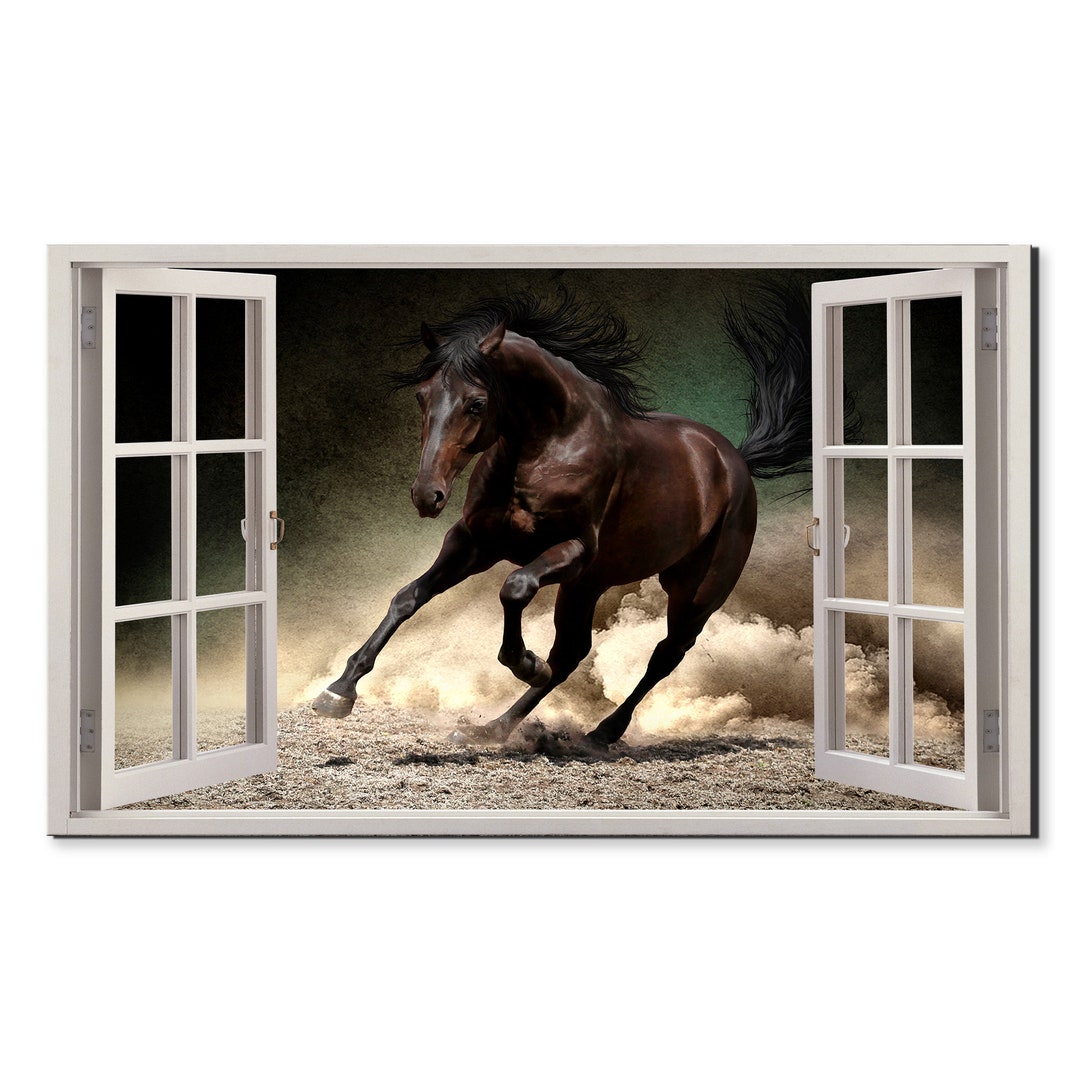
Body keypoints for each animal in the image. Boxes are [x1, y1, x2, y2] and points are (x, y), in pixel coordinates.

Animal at [311, 287, 823, 747]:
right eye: (422, 397)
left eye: (476, 403)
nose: (426, 495)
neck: (550, 444)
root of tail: (732, 460)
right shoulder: (474, 542)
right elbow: (408, 597)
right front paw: (338, 691)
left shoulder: (572, 551)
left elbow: (514, 587)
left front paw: (525, 662)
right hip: (589, 585)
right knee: (573, 654)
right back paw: (489, 729)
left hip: (693, 593)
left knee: (664, 655)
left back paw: (602, 733)